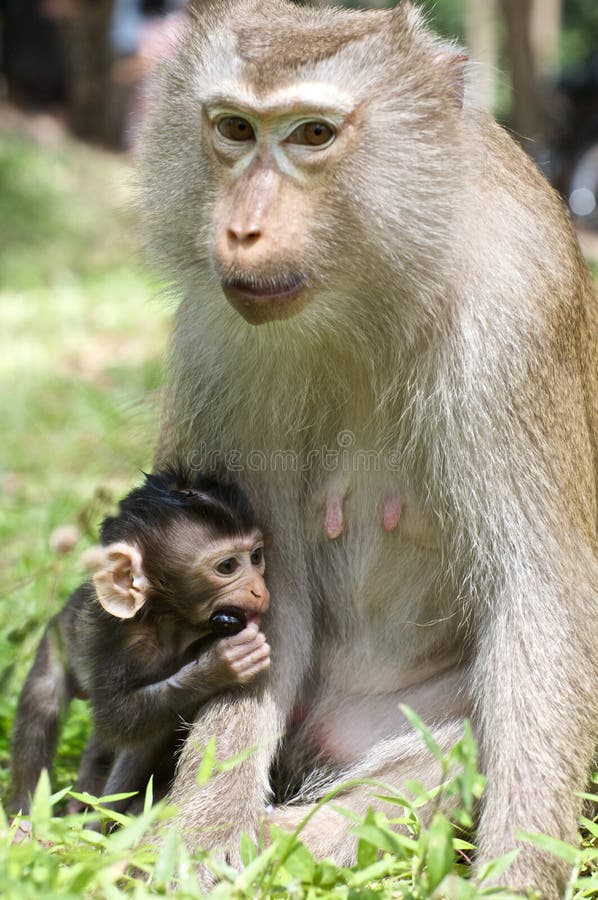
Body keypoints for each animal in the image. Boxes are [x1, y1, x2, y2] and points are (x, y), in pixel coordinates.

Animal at [9, 468, 271, 820]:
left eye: (256, 556)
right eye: (227, 566)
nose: (259, 590)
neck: (170, 622)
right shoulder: (126, 647)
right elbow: (116, 716)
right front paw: (221, 665)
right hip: (56, 640)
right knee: (41, 706)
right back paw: (26, 814)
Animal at [136, 1, 598, 896]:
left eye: (313, 134)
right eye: (235, 128)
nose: (243, 227)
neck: (367, 291)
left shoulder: (516, 316)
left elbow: (542, 599)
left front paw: (517, 875)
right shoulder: (218, 342)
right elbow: (255, 589)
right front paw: (200, 838)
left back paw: (306, 838)